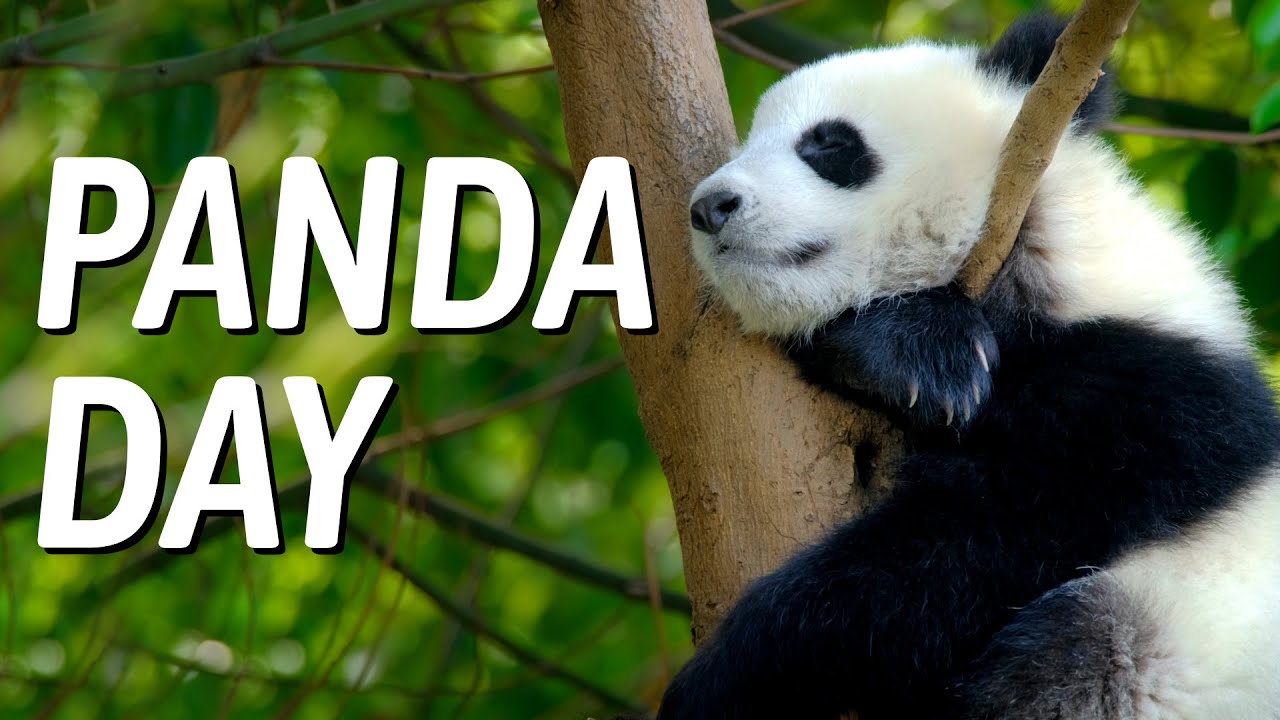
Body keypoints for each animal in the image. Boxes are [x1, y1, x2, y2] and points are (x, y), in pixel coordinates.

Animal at [658, 14, 1280, 720]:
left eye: (830, 145)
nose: (710, 206)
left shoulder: (1146, 403)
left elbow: (977, 540)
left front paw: (726, 674)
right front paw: (909, 359)